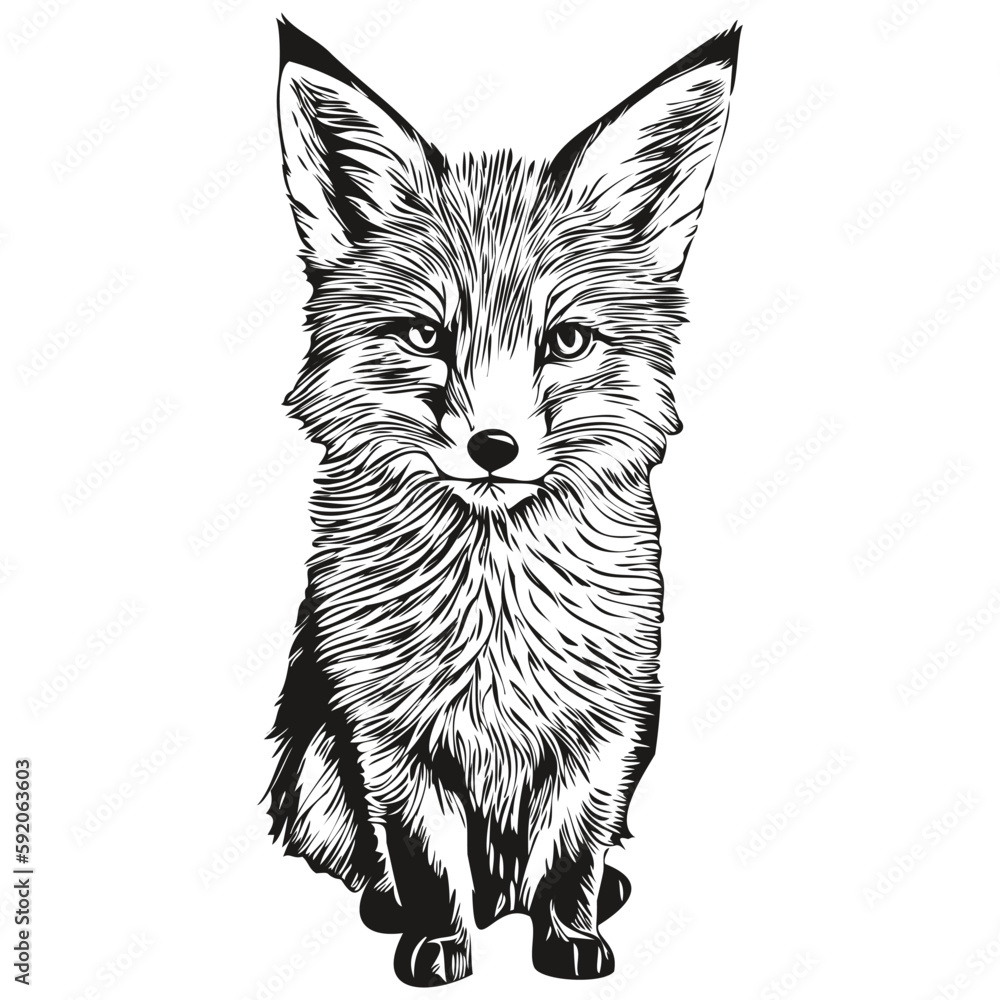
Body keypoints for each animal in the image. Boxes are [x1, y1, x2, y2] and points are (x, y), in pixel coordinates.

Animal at [265, 17, 739, 986]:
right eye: (424, 335)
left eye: (567, 342)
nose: (494, 448)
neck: (493, 610)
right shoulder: (391, 737)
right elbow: (425, 859)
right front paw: (439, 943)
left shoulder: (605, 729)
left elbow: (570, 855)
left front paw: (570, 941)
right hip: (318, 762)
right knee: (364, 857)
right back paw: (393, 905)